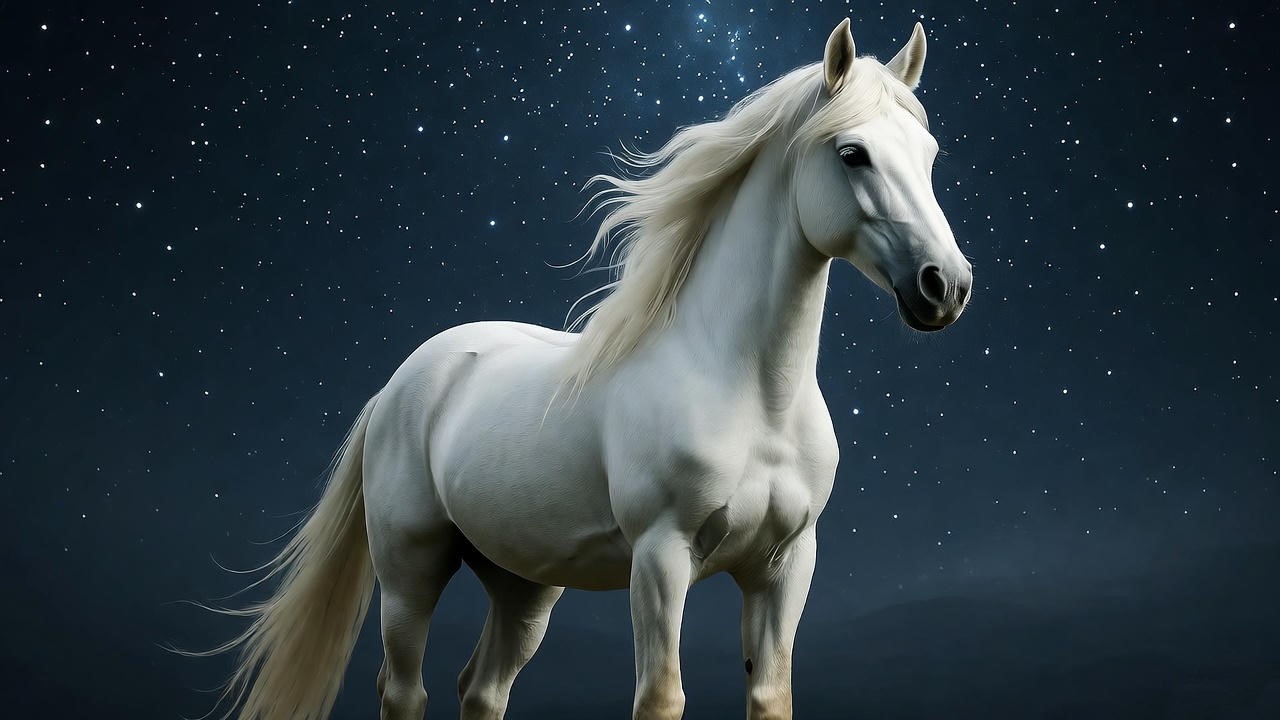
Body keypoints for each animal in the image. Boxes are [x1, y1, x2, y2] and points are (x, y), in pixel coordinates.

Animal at [204, 18, 972, 720]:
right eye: (853, 153)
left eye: (930, 155)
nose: (946, 286)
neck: (753, 394)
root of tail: (398, 386)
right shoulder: (661, 558)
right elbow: (660, 697)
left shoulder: (784, 567)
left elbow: (770, 694)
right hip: (409, 568)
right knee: (404, 690)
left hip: (522, 584)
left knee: (481, 690)